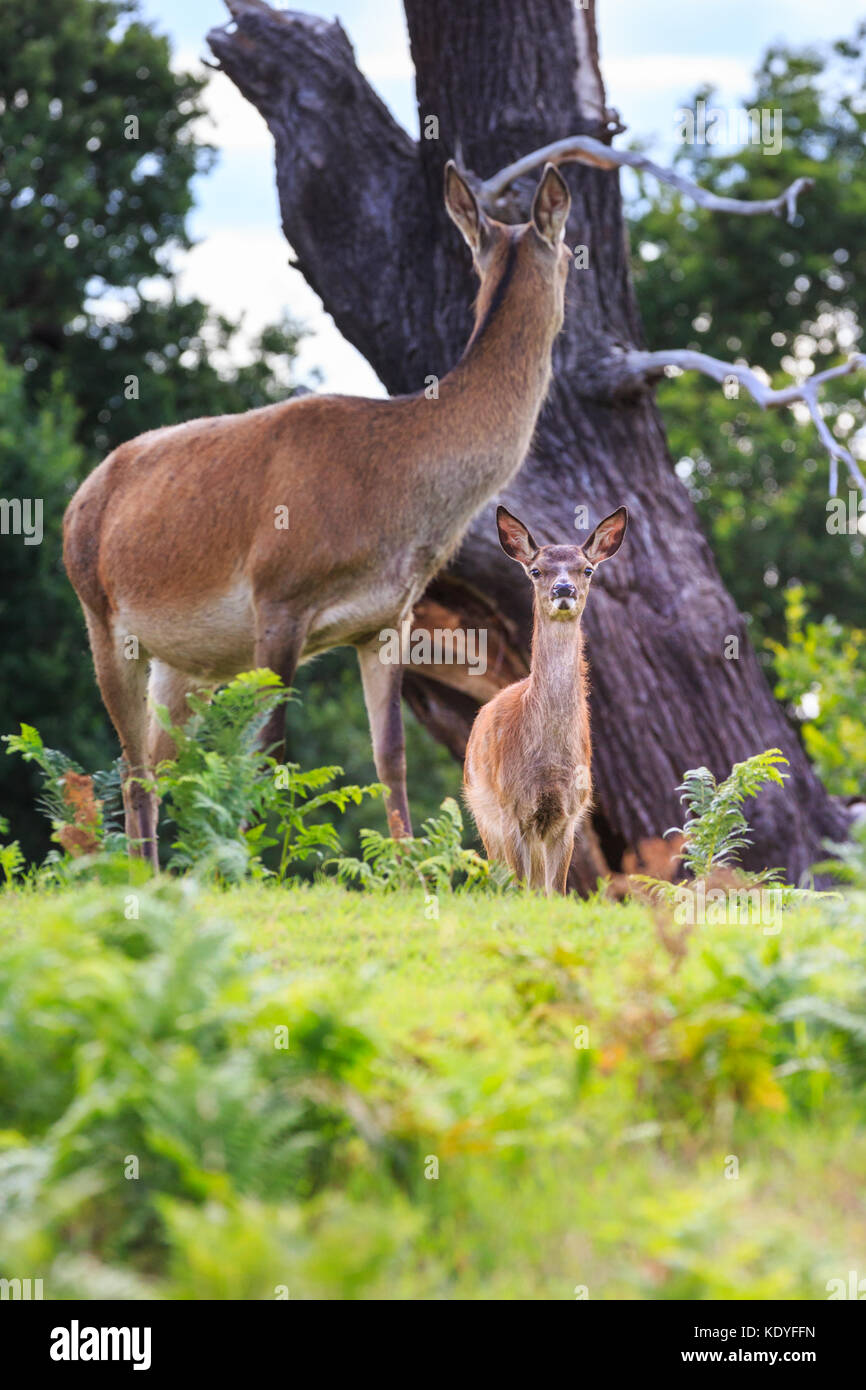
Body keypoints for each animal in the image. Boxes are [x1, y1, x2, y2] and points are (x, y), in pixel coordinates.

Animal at [62, 162, 573, 866]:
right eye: (574, 256)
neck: (393, 500)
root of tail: (76, 503)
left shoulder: (387, 621)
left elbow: (390, 757)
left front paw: (408, 870)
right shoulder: (279, 599)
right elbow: (271, 753)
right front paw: (265, 867)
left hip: (184, 664)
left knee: (162, 767)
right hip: (102, 620)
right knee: (134, 766)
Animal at [463, 503, 628, 895]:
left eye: (587, 568)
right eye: (536, 570)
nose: (563, 588)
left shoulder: (569, 814)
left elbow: (557, 891)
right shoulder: (511, 809)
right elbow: (521, 889)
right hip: (483, 813)